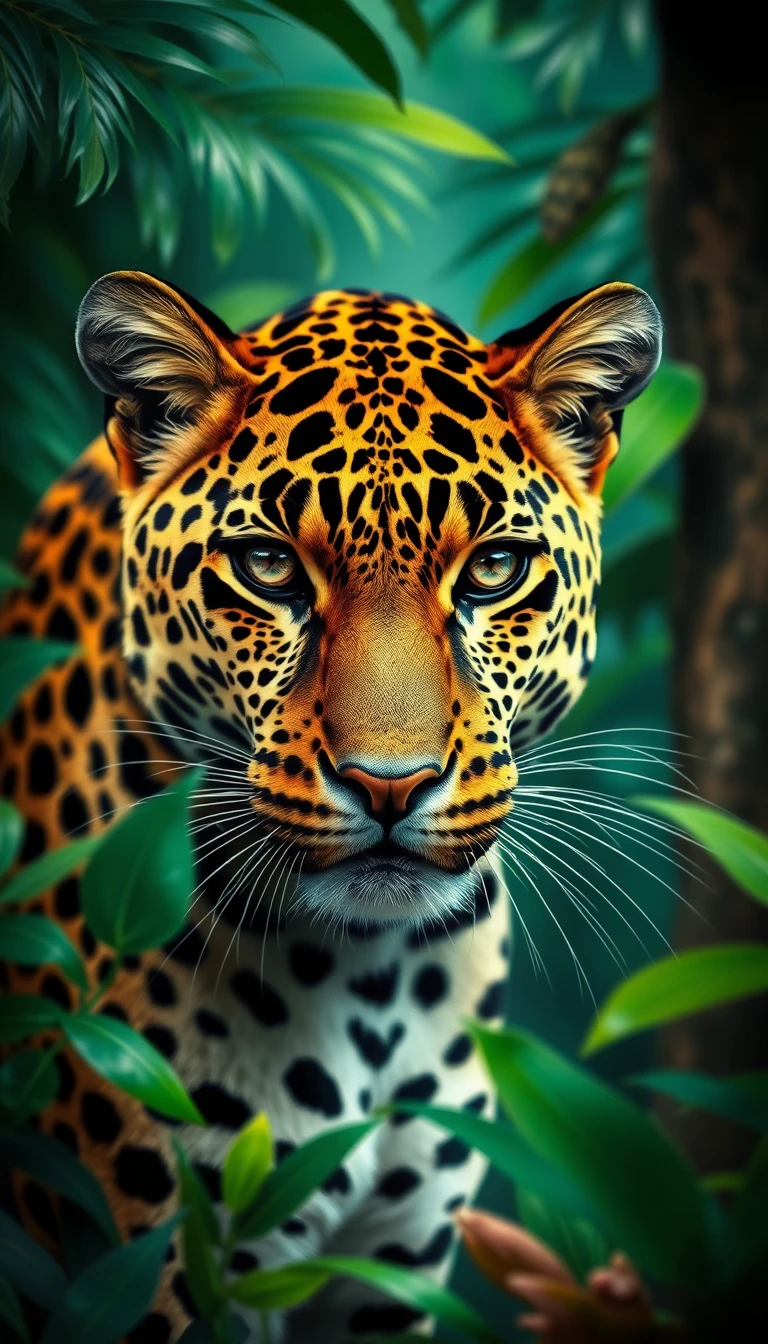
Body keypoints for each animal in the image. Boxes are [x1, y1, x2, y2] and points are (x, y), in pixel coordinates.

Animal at [0, 272, 661, 1342]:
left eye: (493, 570)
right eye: (268, 567)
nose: (390, 782)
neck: (372, 981)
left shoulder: (387, 1273)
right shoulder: (155, 1261)